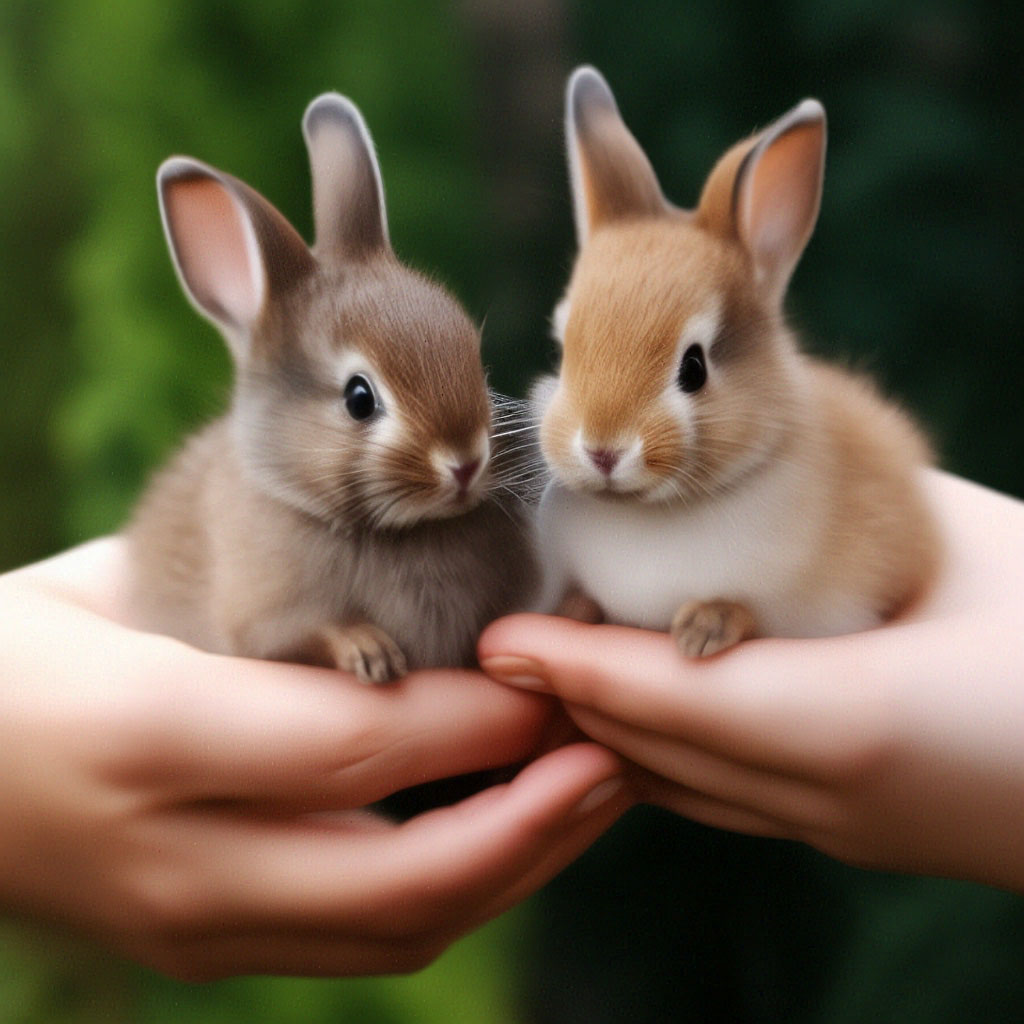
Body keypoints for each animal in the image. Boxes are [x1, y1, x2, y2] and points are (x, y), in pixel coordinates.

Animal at [126, 93, 539, 683]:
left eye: (474, 359)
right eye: (359, 399)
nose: (465, 463)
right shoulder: (267, 623)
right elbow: (311, 632)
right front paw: (371, 653)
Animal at [531, 66, 941, 658]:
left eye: (694, 368)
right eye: (563, 351)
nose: (603, 450)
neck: (651, 511)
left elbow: (745, 611)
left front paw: (702, 631)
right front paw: (573, 609)